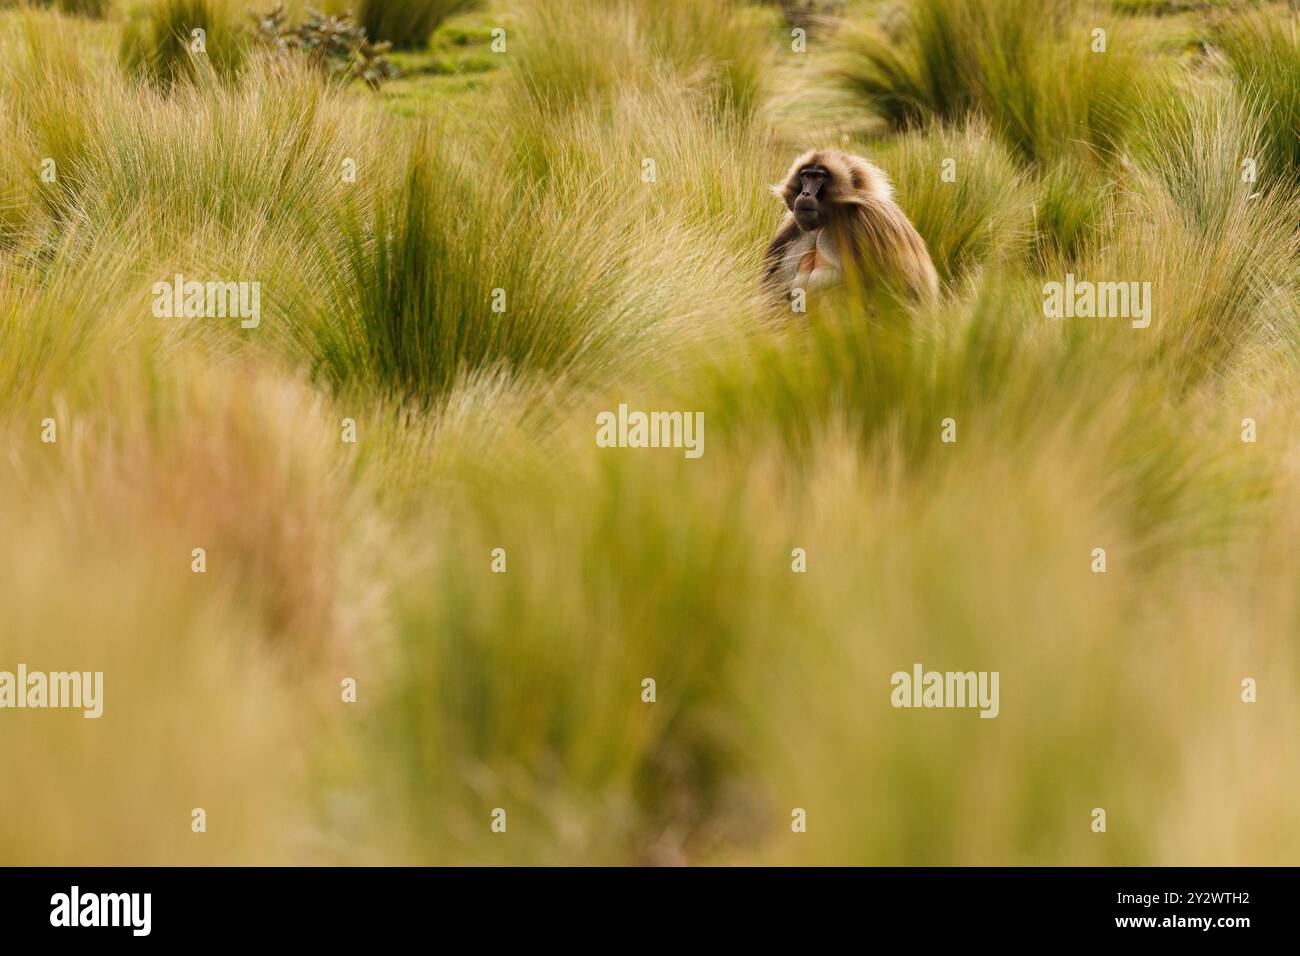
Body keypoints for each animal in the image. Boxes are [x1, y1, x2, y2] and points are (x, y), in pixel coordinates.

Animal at [762, 149, 938, 304]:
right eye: (806, 175)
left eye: (819, 177)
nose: (805, 194)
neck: (832, 218)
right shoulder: (792, 228)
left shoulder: (873, 220)